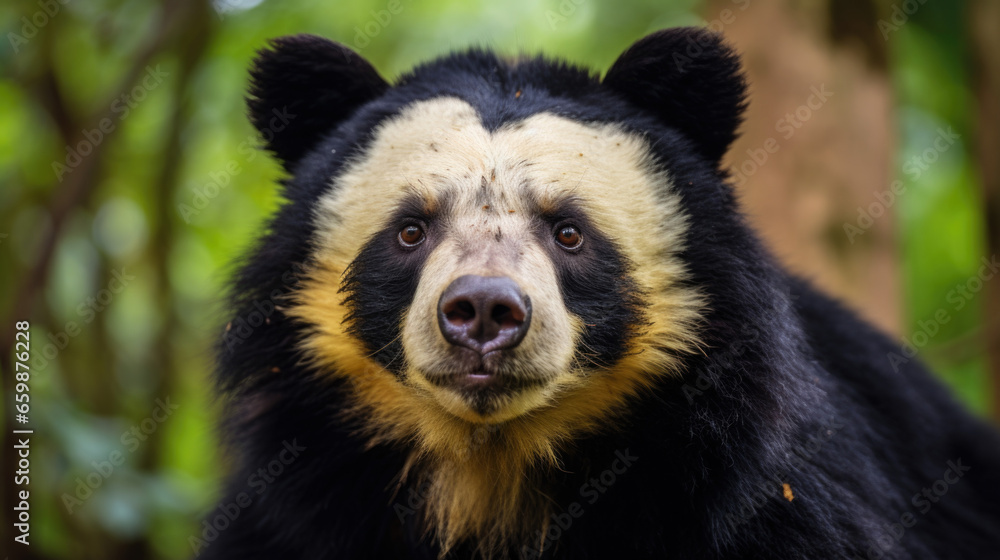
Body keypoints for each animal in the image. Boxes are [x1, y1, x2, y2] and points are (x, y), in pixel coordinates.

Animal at [196, 27, 1000, 560]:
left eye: (569, 233)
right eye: (410, 231)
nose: (483, 312)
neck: (490, 472)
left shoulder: (771, 507)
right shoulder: (292, 519)